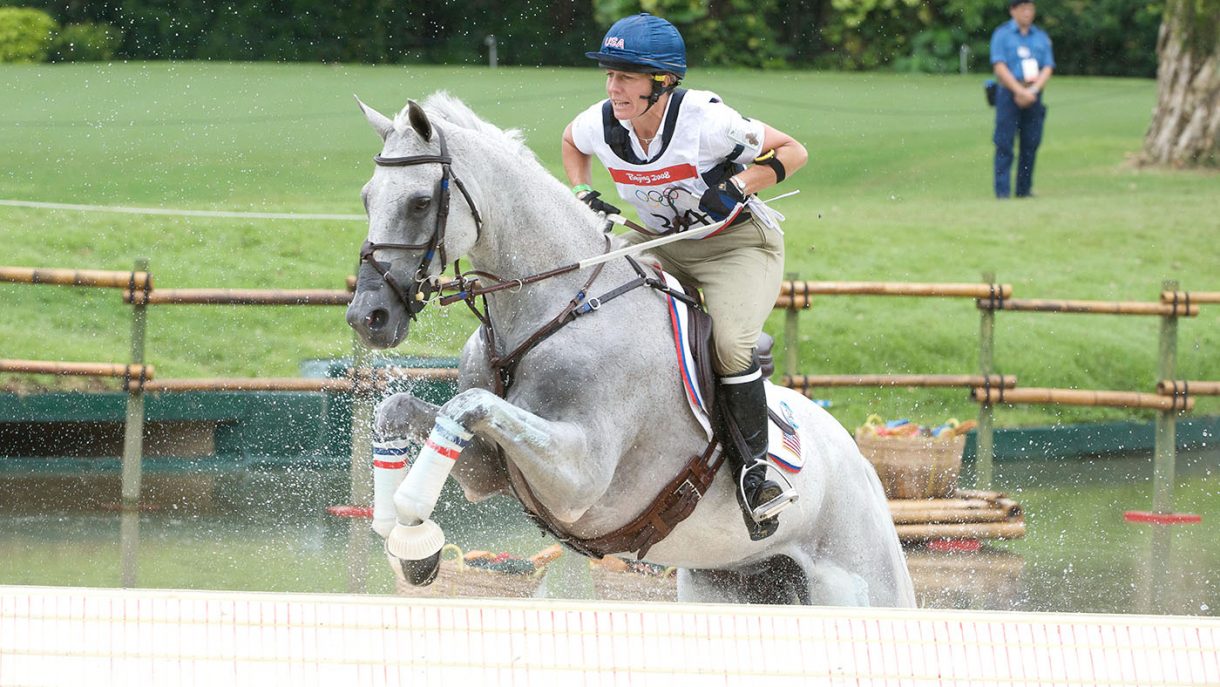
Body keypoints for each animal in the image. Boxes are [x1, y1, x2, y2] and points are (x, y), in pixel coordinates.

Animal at [345, 92, 915, 606]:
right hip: (730, 582)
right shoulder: (490, 467)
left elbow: (468, 405)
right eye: (368, 197)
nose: (367, 317)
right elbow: (402, 409)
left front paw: (411, 517)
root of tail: (862, 464)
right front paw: (406, 540)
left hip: (859, 584)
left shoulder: (581, 479)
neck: (558, 306)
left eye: (420, 202)